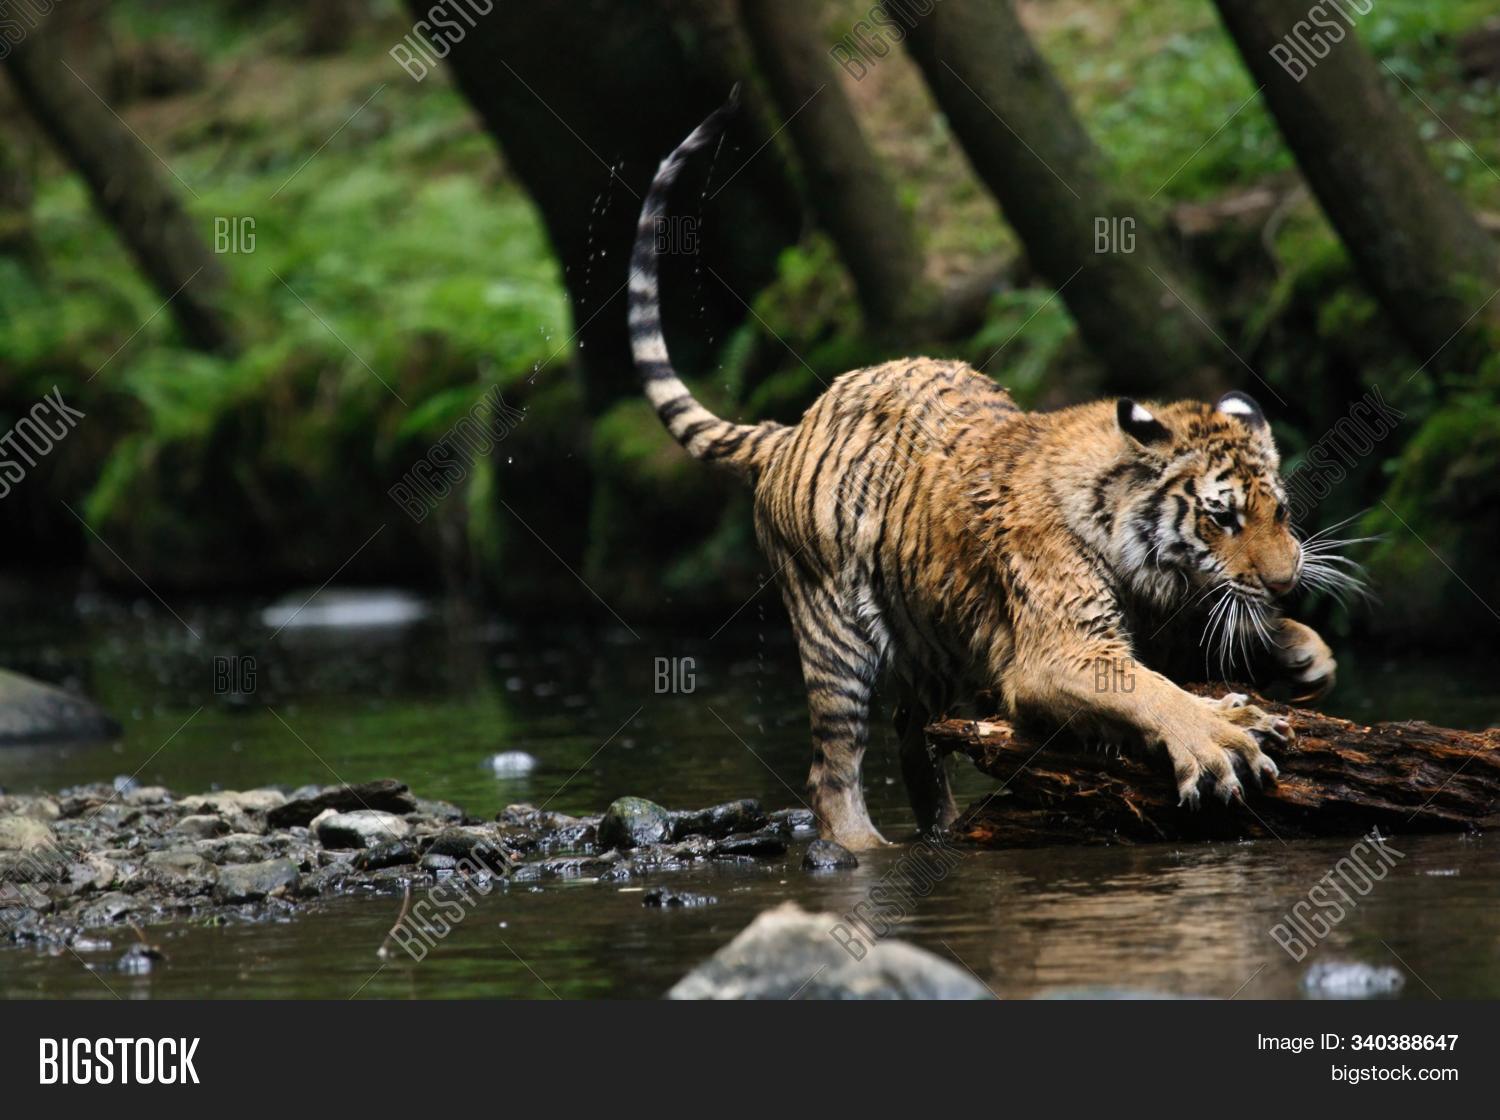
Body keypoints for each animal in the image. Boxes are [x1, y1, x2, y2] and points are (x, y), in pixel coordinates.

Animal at [628, 94, 1342, 849]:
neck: (1150, 569)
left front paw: (1302, 651)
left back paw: (943, 829)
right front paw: (1223, 736)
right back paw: (867, 851)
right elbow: (1154, 691)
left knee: (912, 733)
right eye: (1222, 518)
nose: (1287, 583)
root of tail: (794, 426)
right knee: (832, 773)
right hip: (837, 639)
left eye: (1280, 513)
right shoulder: (1062, 649)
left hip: (935, 638)